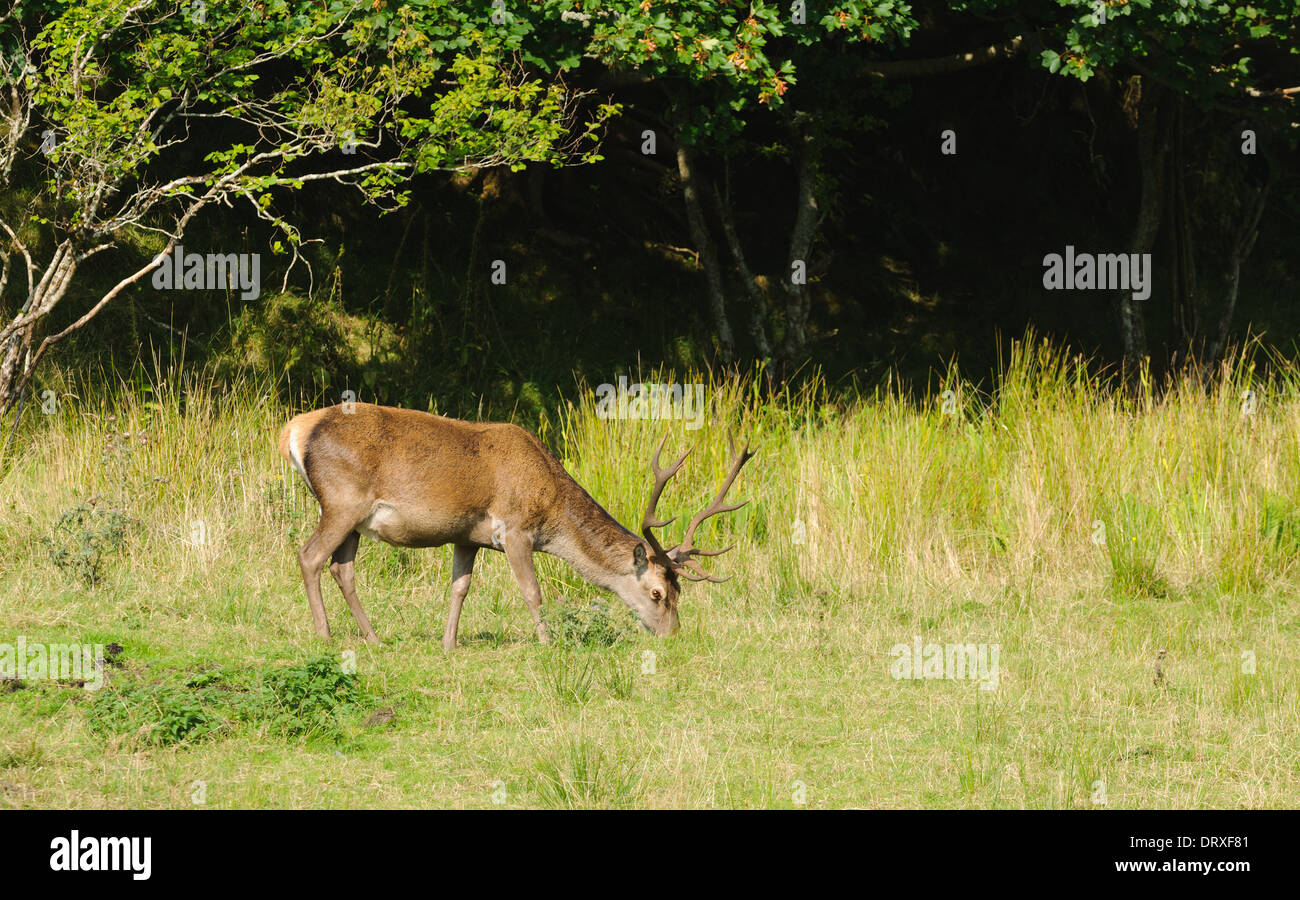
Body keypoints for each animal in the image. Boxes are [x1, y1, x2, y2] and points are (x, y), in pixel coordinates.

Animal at [277, 402, 754, 649]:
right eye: (657, 592)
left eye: (679, 591)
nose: (674, 635)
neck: (552, 508)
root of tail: (293, 430)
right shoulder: (517, 530)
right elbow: (532, 590)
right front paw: (547, 642)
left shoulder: (467, 536)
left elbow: (460, 587)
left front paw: (450, 643)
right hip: (341, 501)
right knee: (310, 556)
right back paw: (325, 635)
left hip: (355, 521)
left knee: (342, 568)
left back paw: (374, 638)